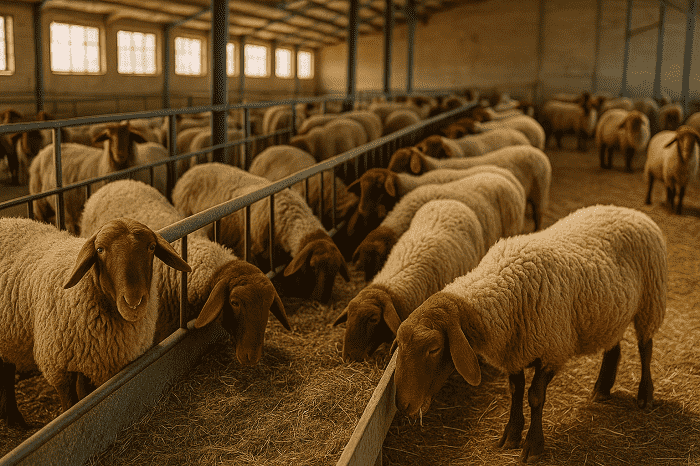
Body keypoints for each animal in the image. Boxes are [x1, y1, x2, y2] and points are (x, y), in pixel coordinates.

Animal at [0, 216, 191, 427]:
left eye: (151, 247)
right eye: (100, 249)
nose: (133, 303)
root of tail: (8, 219)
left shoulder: (92, 360)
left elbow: (86, 398)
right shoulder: (57, 365)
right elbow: (70, 405)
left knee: (6, 369)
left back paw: (12, 418)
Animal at [393, 204, 666, 463]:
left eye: (434, 348)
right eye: (399, 344)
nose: (402, 405)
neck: (505, 283)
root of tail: (630, 211)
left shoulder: (552, 349)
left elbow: (535, 396)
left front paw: (533, 447)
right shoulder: (514, 351)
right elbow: (515, 392)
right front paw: (511, 436)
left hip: (650, 298)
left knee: (646, 347)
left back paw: (645, 395)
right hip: (611, 310)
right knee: (614, 345)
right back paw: (602, 388)